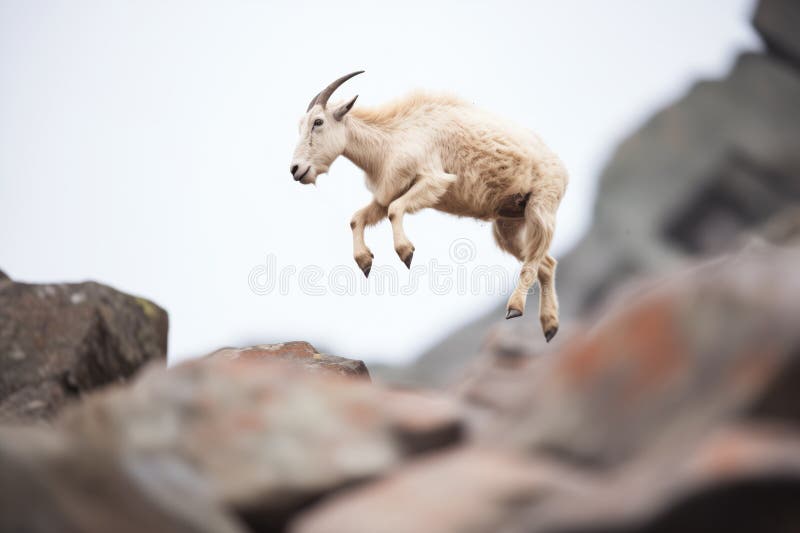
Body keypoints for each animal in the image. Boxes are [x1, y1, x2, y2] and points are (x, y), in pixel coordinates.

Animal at [289, 71, 568, 342]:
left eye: (318, 122)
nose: (295, 169)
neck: (391, 137)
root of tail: (562, 169)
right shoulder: (386, 194)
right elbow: (358, 218)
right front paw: (365, 262)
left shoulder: (433, 181)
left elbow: (396, 210)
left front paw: (406, 253)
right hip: (507, 224)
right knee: (545, 263)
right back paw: (549, 326)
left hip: (541, 207)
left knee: (534, 261)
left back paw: (515, 308)